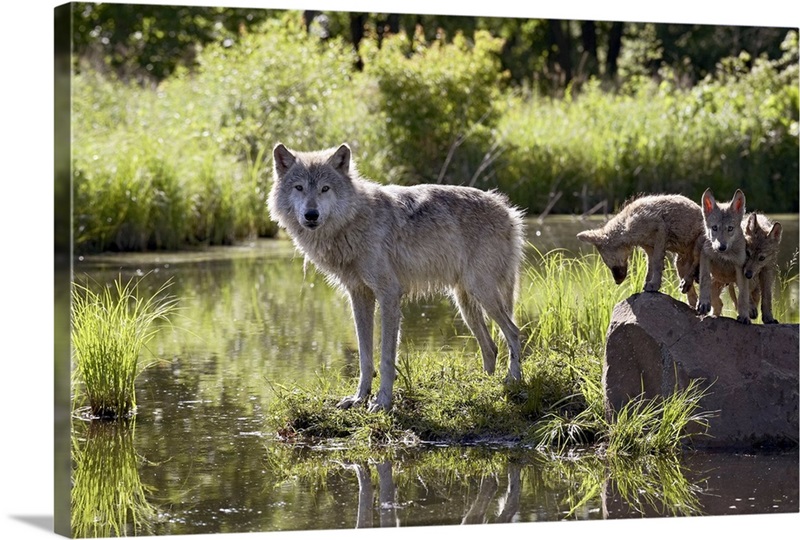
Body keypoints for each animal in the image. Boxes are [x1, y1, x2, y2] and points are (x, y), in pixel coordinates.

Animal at [267, 143, 525, 412]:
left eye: (325, 188)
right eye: (299, 187)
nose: (311, 214)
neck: (353, 223)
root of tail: (508, 210)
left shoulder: (389, 294)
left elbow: (386, 358)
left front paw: (382, 402)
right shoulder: (359, 296)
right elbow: (364, 357)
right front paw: (359, 398)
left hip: (483, 294)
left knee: (514, 332)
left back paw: (513, 380)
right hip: (465, 304)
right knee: (491, 346)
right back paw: (485, 383)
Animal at [576, 194, 705, 306]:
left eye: (606, 261)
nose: (617, 282)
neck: (625, 227)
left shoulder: (660, 230)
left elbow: (657, 263)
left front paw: (654, 285)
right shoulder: (649, 247)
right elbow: (650, 267)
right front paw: (647, 284)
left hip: (699, 244)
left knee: (696, 261)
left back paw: (687, 282)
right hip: (680, 263)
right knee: (692, 295)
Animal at [696, 188, 750, 323]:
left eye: (730, 228)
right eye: (714, 228)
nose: (721, 247)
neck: (725, 256)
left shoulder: (740, 268)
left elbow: (743, 295)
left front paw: (744, 316)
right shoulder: (705, 256)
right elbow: (704, 280)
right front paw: (703, 303)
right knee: (719, 304)